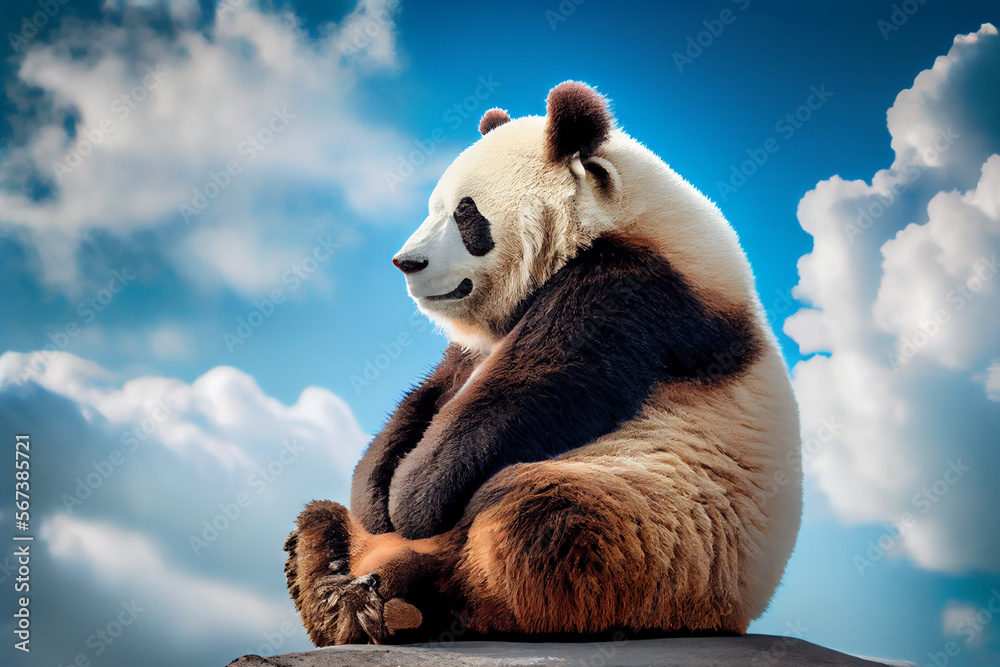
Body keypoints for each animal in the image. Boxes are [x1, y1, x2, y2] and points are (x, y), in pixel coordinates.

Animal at [284, 81, 802, 646]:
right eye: (433, 207)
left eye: (466, 214)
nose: (407, 262)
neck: (623, 213)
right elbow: (433, 394)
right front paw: (377, 497)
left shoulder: (644, 285)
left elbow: (537, 386)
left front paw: (412, 499)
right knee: (320, 520)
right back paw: (331, 580)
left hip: (662, 527)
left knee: (544, 524)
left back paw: (431, 603)